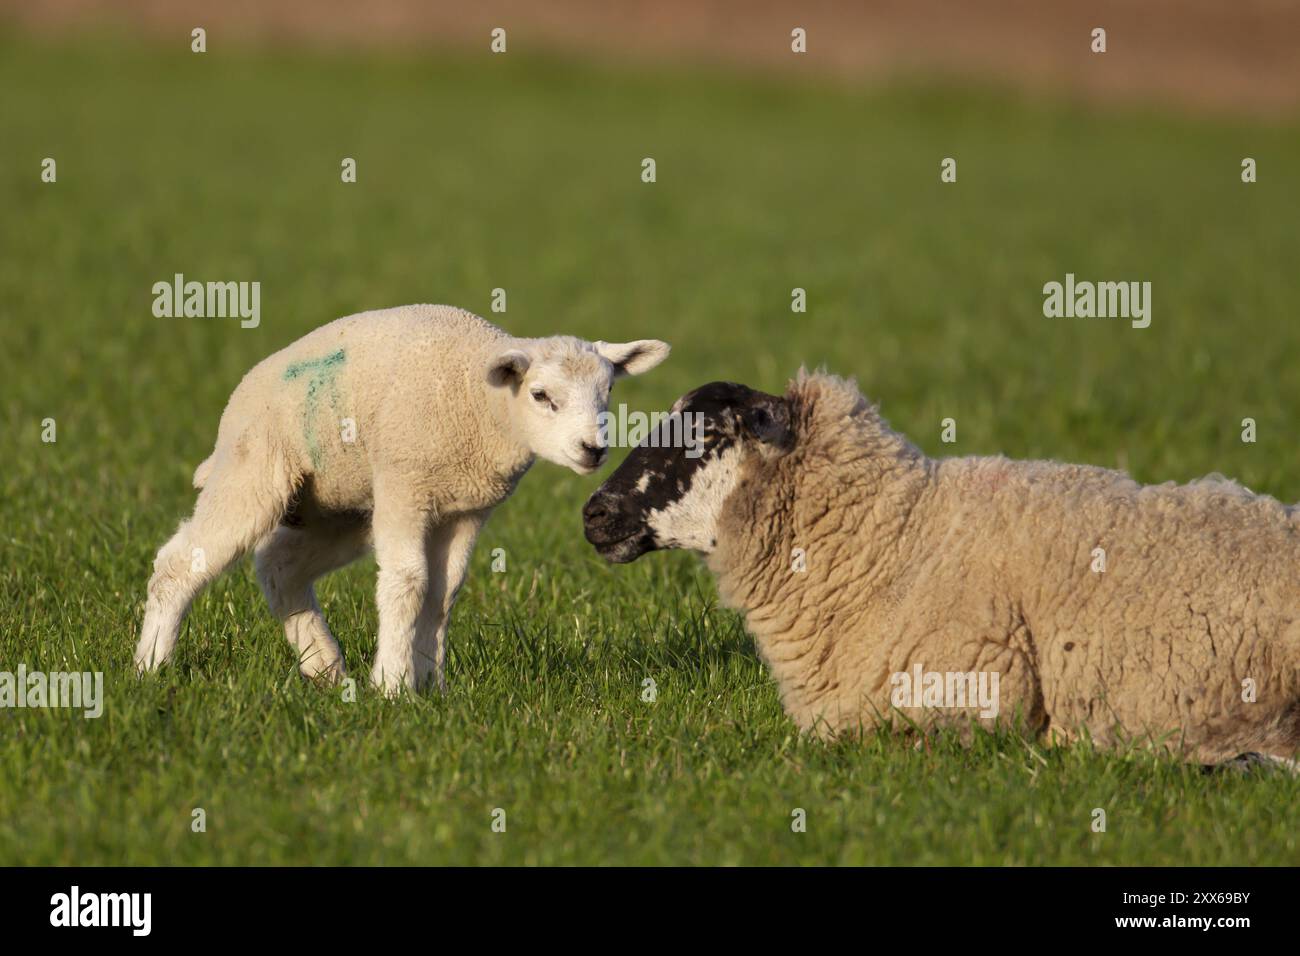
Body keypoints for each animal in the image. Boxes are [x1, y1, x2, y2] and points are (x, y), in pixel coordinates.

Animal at [134, 304, 669, 694]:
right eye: (540, 395)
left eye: (607, 392)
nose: (593, 449)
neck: (482, 406)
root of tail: (238, 400)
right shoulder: (404, 485)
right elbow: (408, 582)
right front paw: (392, 686)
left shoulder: (466, 509)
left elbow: (444, 591)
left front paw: (433, 685)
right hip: (255, 467)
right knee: (180, 562)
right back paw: (150, 667)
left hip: (338, 507)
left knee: (279, 566)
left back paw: (325, 667)